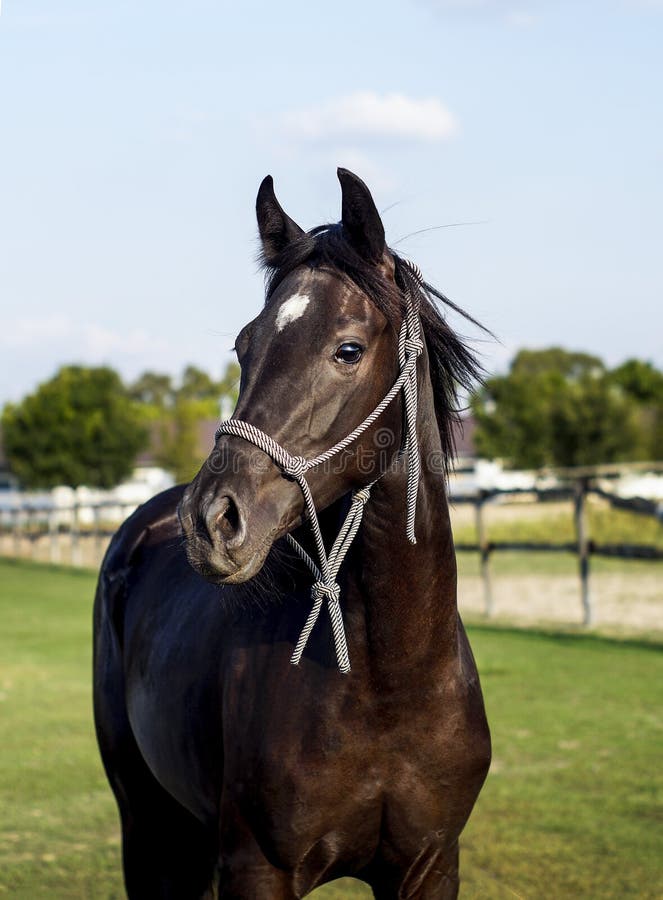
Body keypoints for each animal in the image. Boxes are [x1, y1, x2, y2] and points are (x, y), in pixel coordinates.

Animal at [93, 168, 491, 899]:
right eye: (243, 346)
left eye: (347, 349)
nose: (210, 520)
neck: (390, 683)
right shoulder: (256, 868)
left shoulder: (430, 867)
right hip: (146, 822)